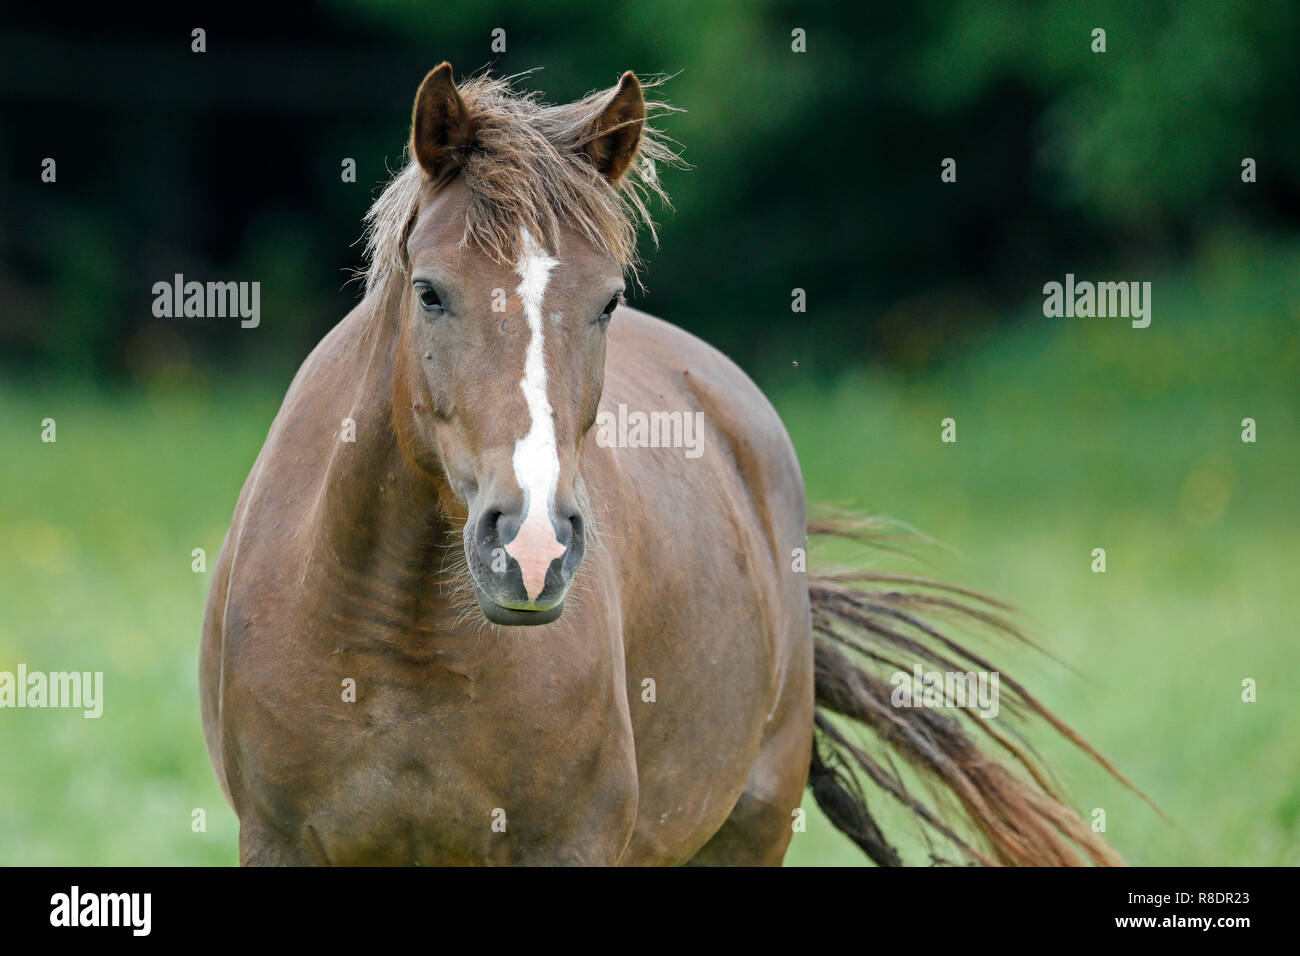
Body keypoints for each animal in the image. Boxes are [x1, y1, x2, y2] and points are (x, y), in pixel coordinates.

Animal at [200, 63, 1142, 865]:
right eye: (430, 292)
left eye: (608, 300)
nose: (532, 547)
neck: (402, 644)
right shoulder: (279, 844)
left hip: (750, 829)